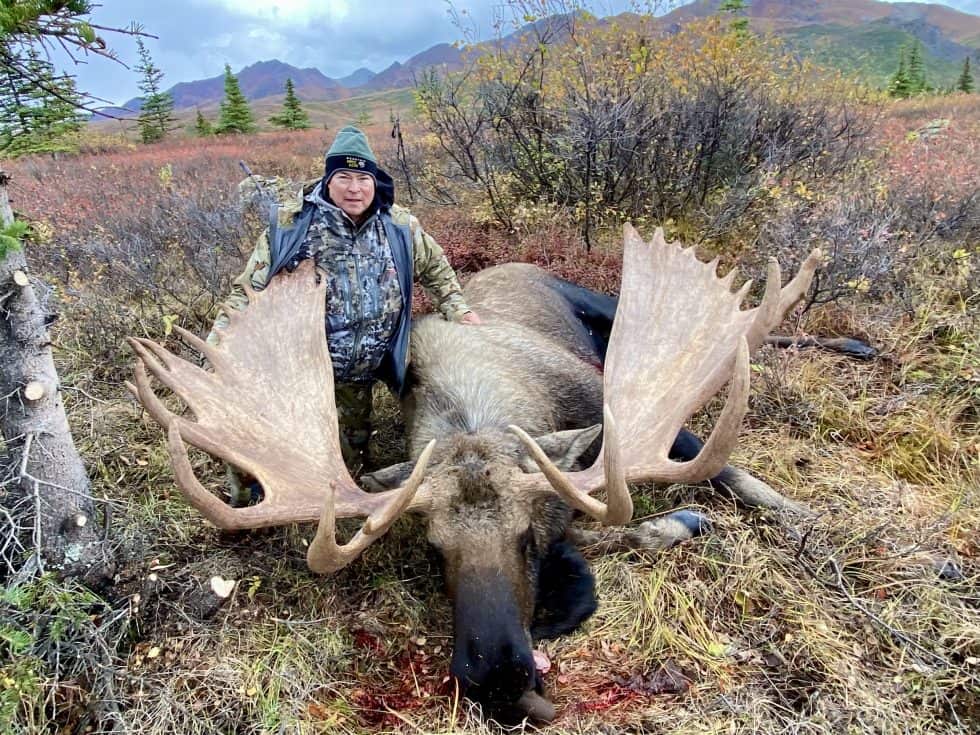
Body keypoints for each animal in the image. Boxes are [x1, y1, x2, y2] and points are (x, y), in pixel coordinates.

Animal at [127, 226, 820, 722]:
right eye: (435, 553)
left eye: (526, 538)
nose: (498, 678)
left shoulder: (599, 398)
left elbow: (715, 462)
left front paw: (790, 512)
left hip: (602, 303)